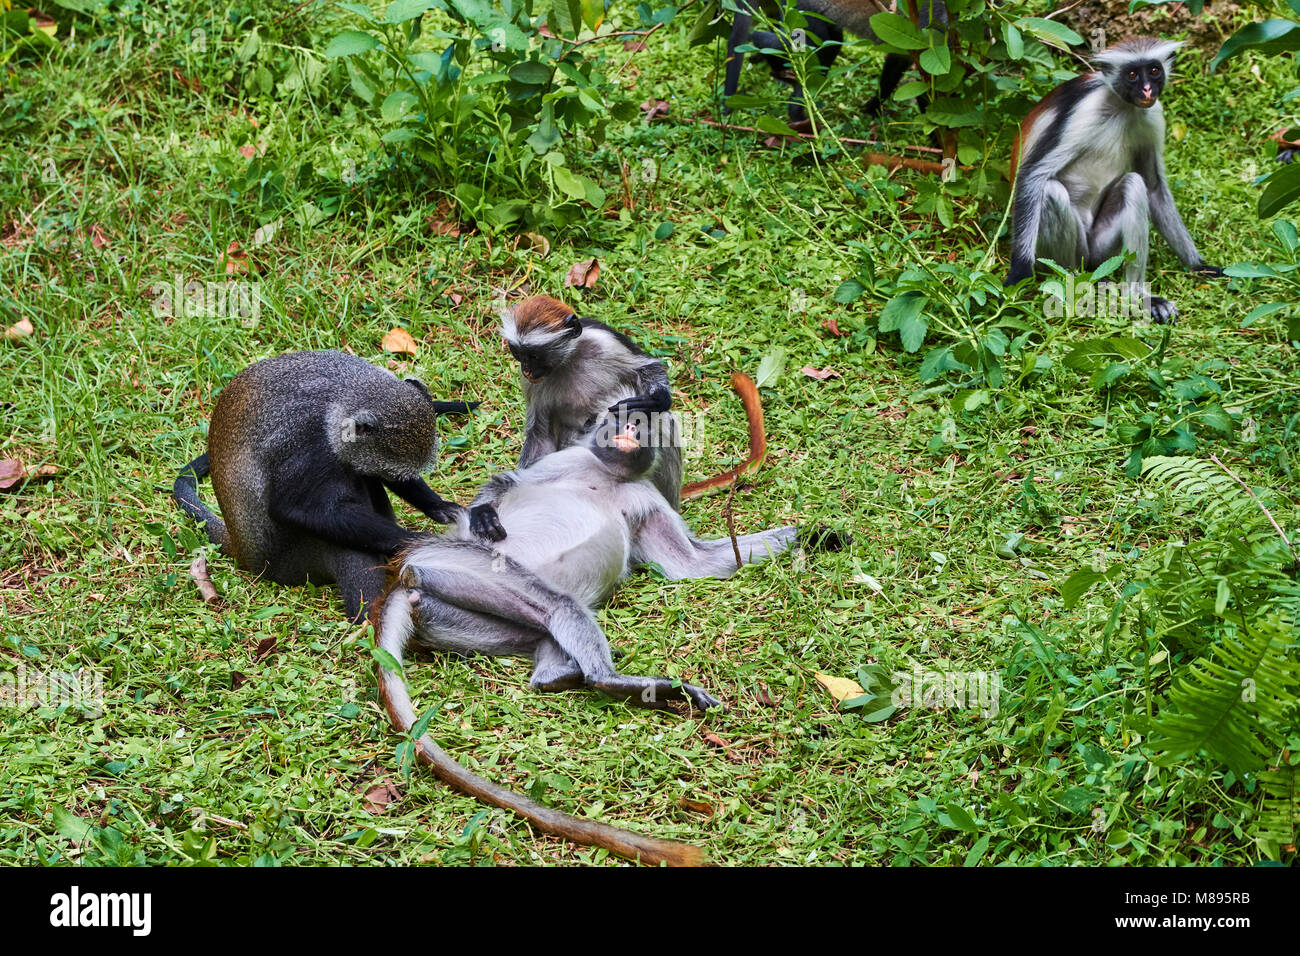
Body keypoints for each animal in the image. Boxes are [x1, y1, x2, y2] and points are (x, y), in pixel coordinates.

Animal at [173, 350, 476, 624]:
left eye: (397, 473)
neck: (342, 392)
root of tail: (243, 552)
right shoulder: (310, 445)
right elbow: (295, 509)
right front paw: (416, 541)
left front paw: (441, 508)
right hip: (293, 565)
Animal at [374, 405, 850, 865]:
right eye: (625, 416)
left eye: (643, 422)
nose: (632, 429)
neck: (611, 478)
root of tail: (406, 581)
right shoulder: (571, 458)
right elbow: (507, 481)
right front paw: (485, 512)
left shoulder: (644, 494)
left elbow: (693, 566)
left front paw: (817, 535)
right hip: (463, 563)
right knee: (557, 606)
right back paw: (613, 680)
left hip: (458, 613)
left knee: (546, 627)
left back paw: (557, 675)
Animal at [481, 294, 766, 539]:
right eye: (519, 355)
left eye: (534, 355)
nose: (527, 369)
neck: (568, 360)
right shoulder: (533, 385)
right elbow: (540, 435)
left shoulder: (602, 339)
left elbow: (648, 367)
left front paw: (657, 398)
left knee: (660, 418)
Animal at [1004, 37, 1223, 324]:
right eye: (1132, 75)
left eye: (1154, 70)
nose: (1146, 89)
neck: (1123, 107)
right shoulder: (1086, 109)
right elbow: (1033, 174)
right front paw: (1019, 273)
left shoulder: (1151, 114)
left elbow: (1153, 187)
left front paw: (1198, 266)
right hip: (1063, 249)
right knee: (1050, 190)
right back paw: (1077, 280)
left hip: (1102, 249)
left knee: (1134, 185)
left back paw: (1139, 297)